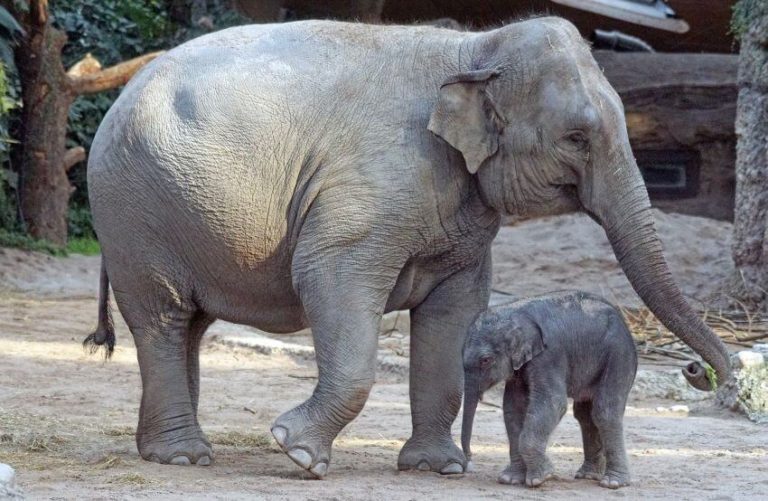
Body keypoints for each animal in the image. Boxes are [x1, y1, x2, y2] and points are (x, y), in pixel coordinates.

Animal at [461, 291, 637, 489]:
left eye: (485, 360)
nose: (469, 460)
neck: (515, 312)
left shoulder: (549, 355)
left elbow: (553, 403)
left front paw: (541, 477)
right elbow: (513, 408)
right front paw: (510, 479)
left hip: (618, 355)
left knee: (605, 411)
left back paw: (612, 482)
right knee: (585, 414)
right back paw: (588, 475)